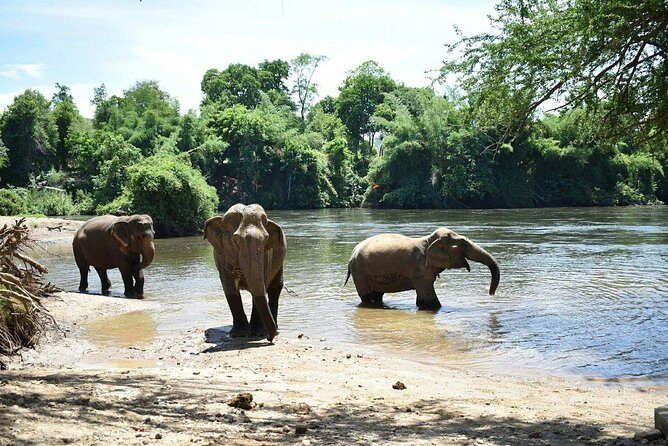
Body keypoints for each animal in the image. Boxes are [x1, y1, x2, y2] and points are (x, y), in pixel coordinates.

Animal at [203, 204, 286, 342]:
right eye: (235, 240)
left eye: (266, 240)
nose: (269, 339)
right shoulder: (221, 258)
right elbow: (230, 289)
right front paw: (240, 335)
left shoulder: (266, 256)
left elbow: (261, 286)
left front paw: (259, 333)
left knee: (275, 288)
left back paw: (275, 327)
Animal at [345, 227, 499, 310]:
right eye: (463, 244)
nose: (491, 293)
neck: (428, 240)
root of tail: (352, 254)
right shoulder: (418, 268)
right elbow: (429, 300)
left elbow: (422, 299)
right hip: (360, 273)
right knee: (368, 297)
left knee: (377, 296)